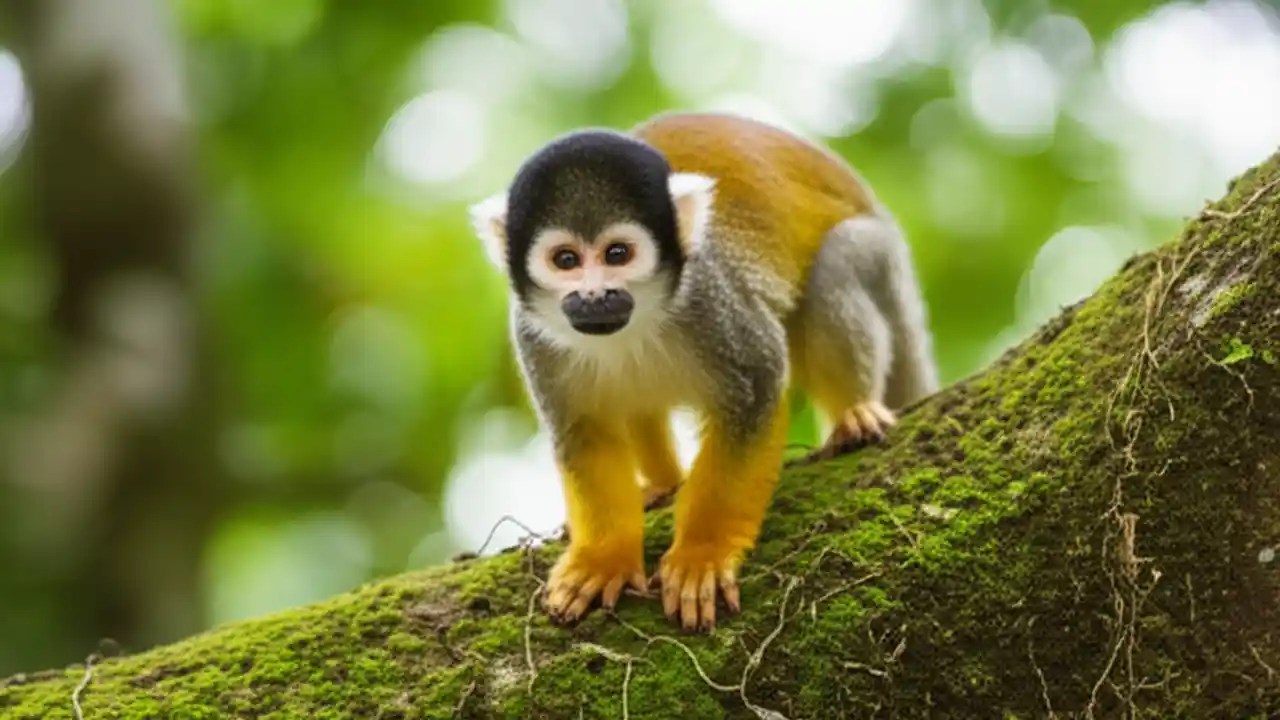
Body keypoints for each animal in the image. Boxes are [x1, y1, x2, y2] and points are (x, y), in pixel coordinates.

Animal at [468, 112, 937, 632]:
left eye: (617, 254)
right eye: (565, 260)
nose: (595, 296)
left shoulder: (711, 298)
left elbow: (757, 387)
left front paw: (702, 555)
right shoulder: (532, 337)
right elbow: (584, 432)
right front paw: (603, 558)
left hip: (880, 254)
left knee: (835, 263)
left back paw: (854, 413)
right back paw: (663, 484)